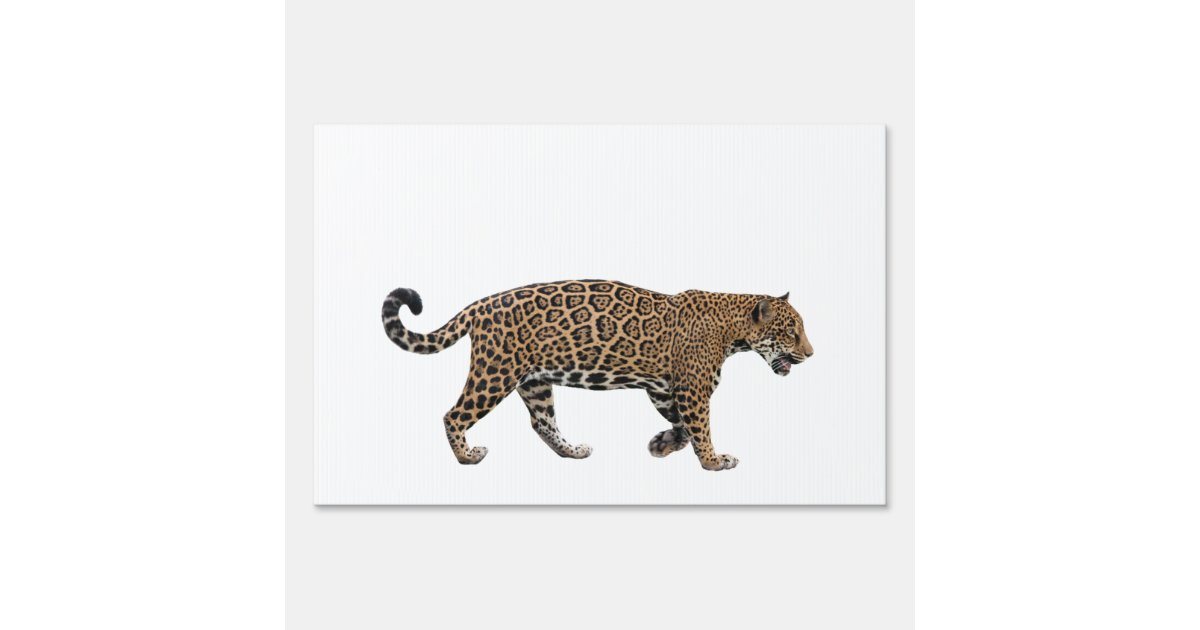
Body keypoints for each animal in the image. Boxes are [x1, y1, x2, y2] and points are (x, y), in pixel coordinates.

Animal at [381, 280, 813, 471]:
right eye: (792, 331)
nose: (810, 354)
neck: (733, 329)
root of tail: (480, 304)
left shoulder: (664, 389)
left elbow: (682, 424)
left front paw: (662, 444)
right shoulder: (692, 388)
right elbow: (701, 427)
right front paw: (713, 460)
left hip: (534, 381)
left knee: (542, 423)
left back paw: (572, 451)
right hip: (496, 371)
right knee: (454, 415)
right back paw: (467, 456)